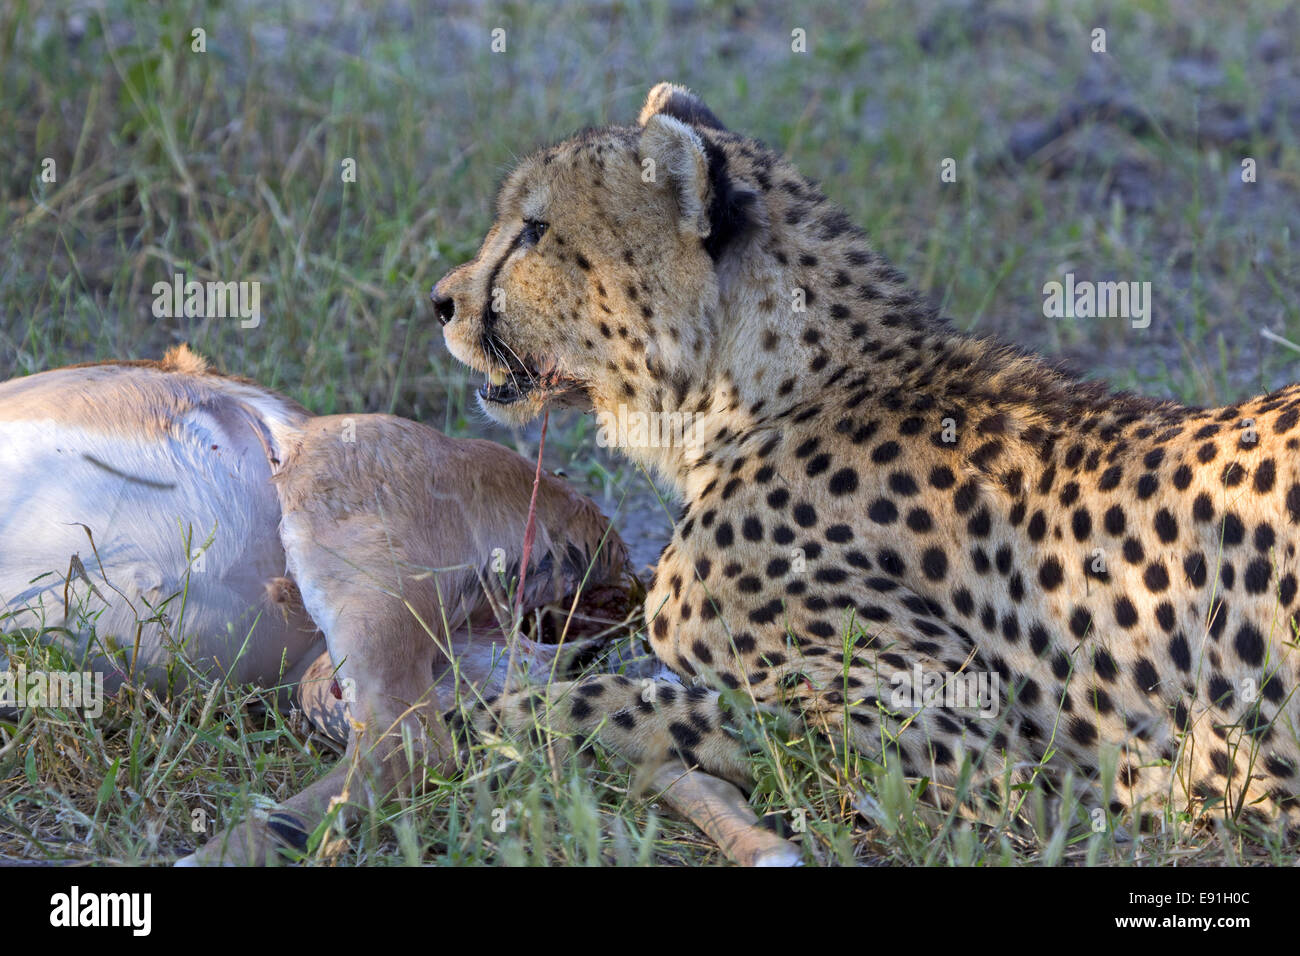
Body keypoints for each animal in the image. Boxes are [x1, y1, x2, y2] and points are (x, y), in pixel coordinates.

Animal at [431, 82, 1300, 841]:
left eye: (534, 230)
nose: (441, 301)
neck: (761, 394)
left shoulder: (993, 760)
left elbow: (663, 702)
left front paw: (483, 719)